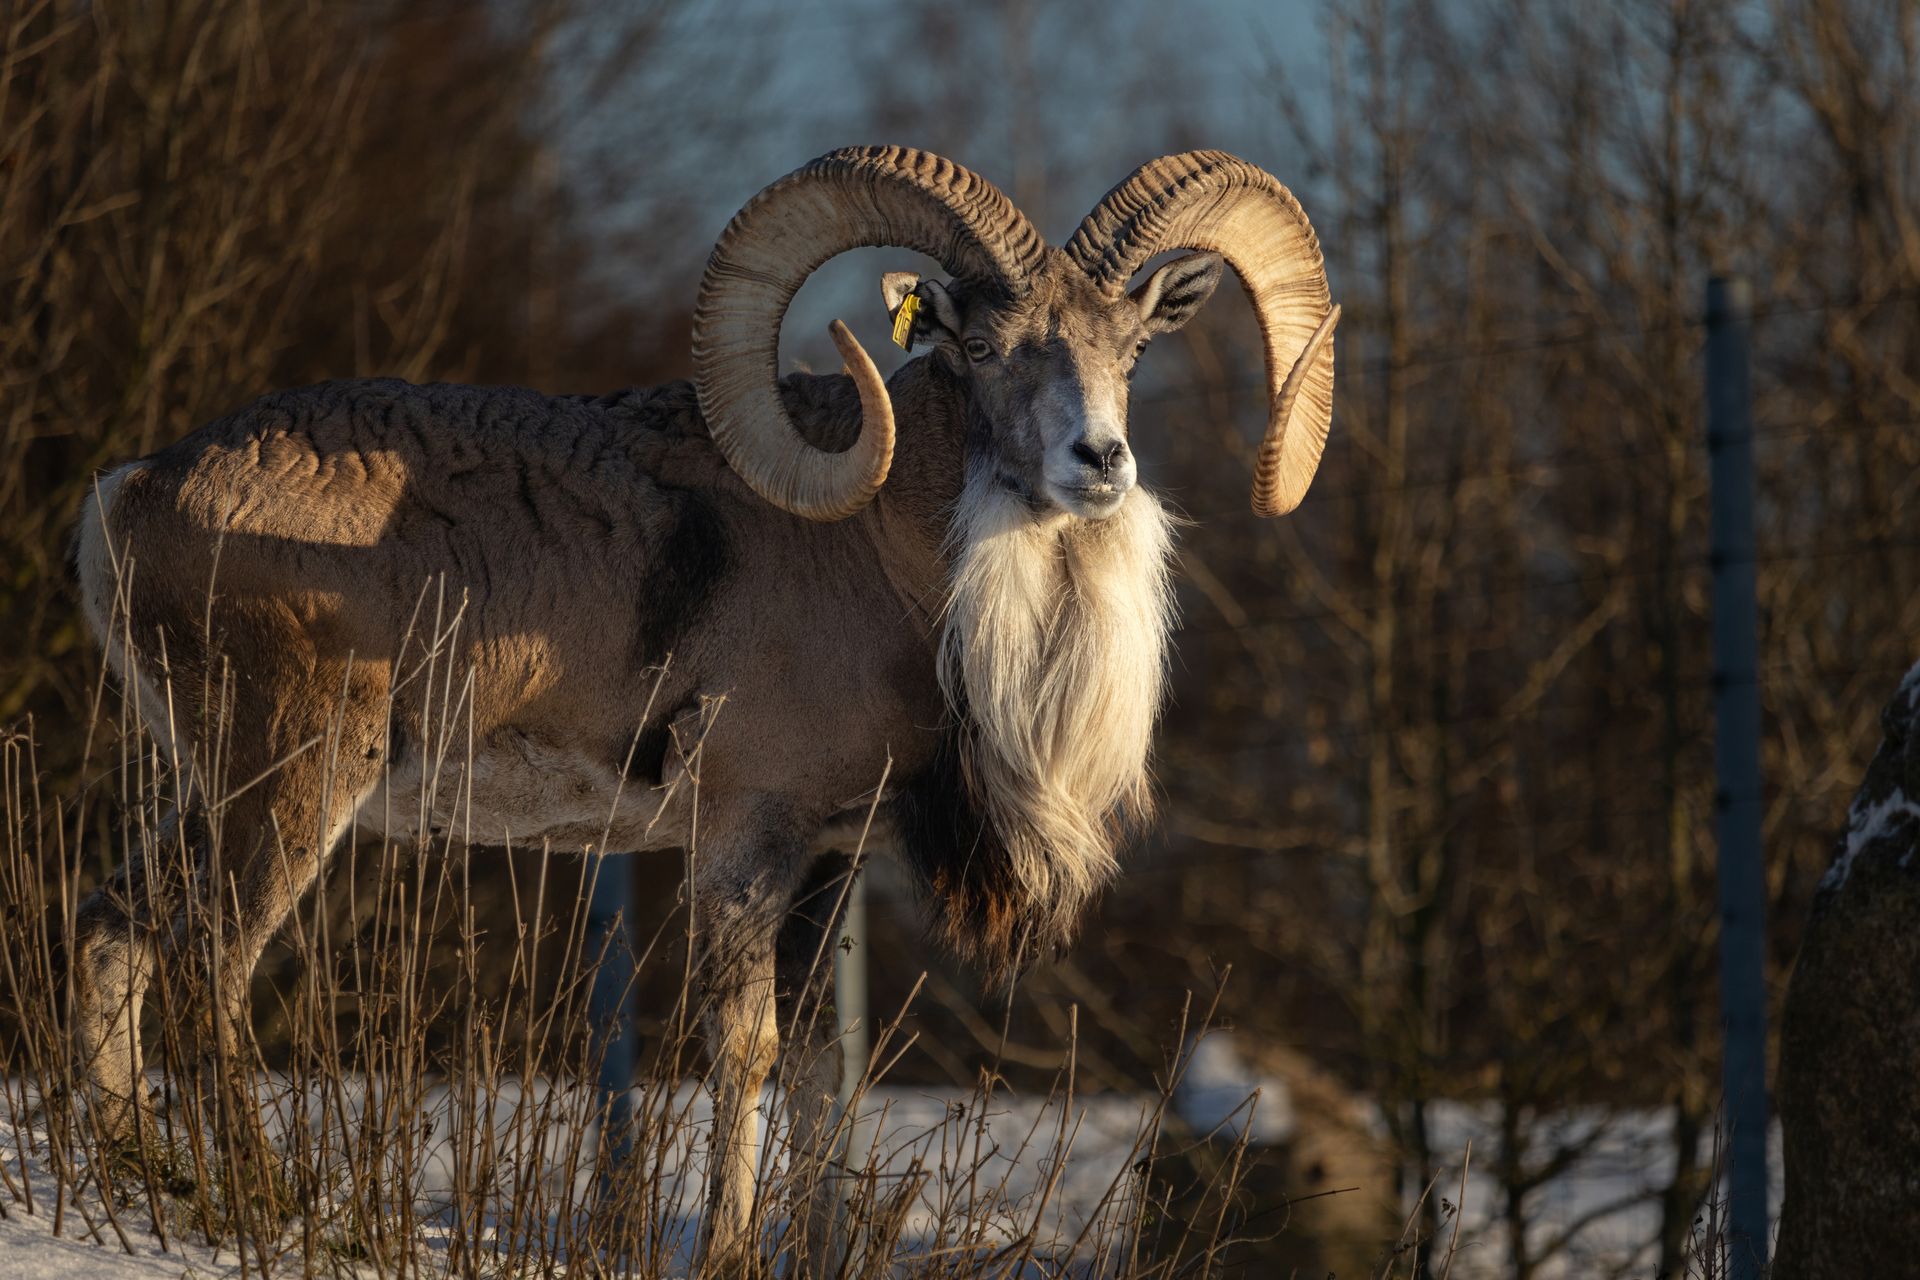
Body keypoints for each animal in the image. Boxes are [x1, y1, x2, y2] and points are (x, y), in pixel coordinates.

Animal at [69, 144, 1338, 1268]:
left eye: (1131, 347)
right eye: (982, 346)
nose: (1099, 459)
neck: (874, 559)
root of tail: (129, 492)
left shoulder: (830, 862)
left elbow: (823, 1073)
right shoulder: (742, 842)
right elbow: (746, 1048)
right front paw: (728, 1248)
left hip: (207, 789)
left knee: (115, 923)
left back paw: (137, 1169)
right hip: (287, 781)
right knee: (211, 951)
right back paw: (254, 1197)